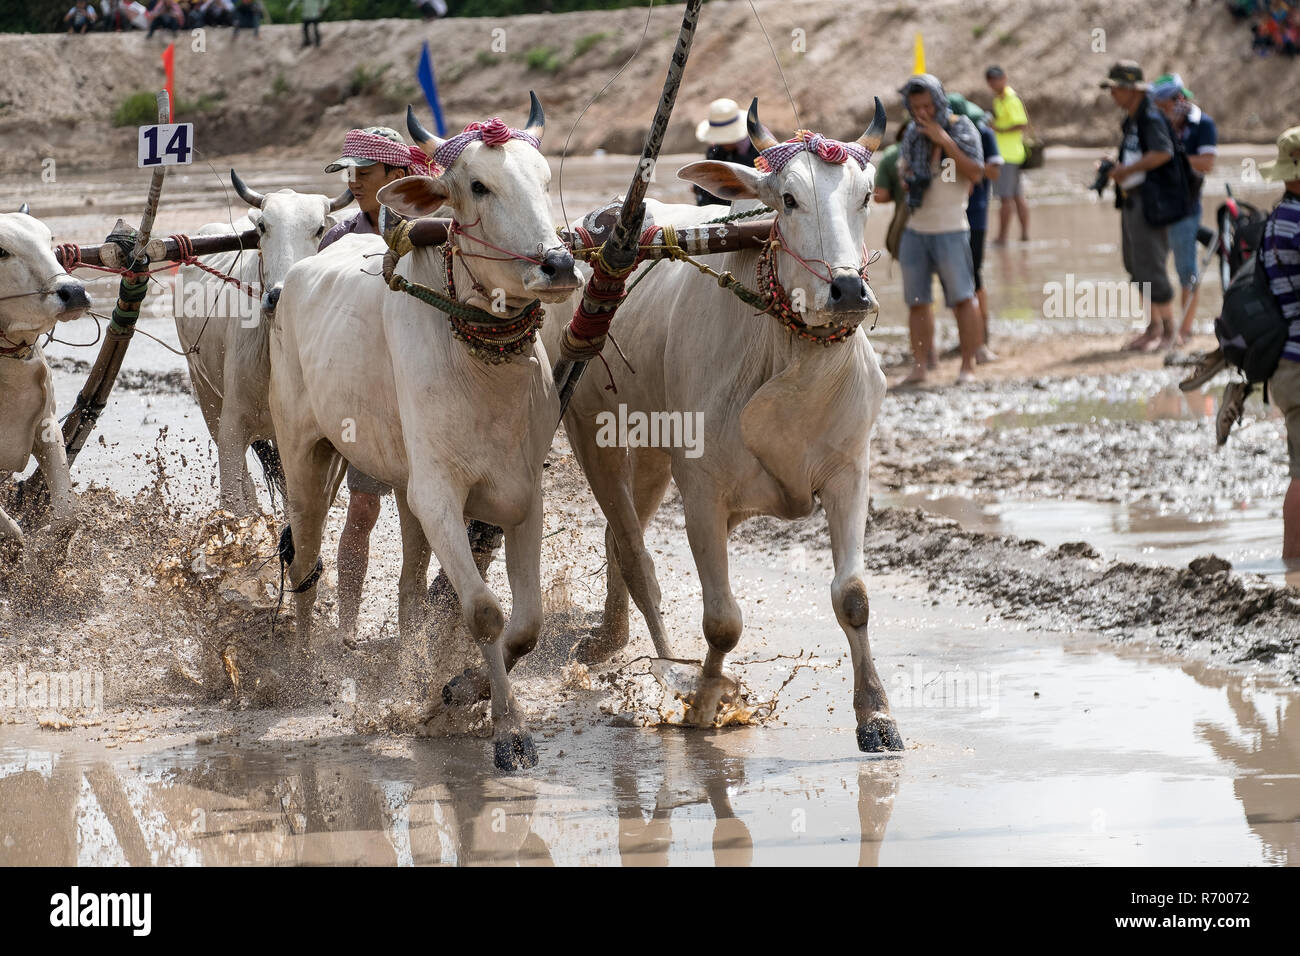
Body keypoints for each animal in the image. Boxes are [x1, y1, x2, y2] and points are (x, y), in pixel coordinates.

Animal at [0, 211, 91, 545]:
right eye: (1, 251)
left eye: (49, 240)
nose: (74, 292)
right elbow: (11, 530)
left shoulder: (46, 425)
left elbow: (69, 513)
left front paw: (44, 548)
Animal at [173, 173, 352, 513]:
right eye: (263, 226)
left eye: (319, 229)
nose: (278, 295)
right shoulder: (232, 426)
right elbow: (232, 497)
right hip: (204, 389)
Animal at [269, 94, 579, 770]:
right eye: (479, 186)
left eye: (545, 180)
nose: (559, 264)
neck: (487, 373)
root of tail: (296, 276)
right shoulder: (440, 495)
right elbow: (484, 613)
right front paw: (508, 730)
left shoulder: (523, 495)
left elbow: (528, 624)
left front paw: (454, 692)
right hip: (303, 453)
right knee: (304, 558)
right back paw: (302, 671)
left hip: (404, 488)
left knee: (411, 586)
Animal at [538, 98, 904, 753]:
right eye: (787, 198)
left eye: (865, 196)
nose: (848, 290)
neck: (792, 358)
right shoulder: (703, 491)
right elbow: (723, 621)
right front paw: (704, 702)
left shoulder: (848, 473)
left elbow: (853, 598)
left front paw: (877, 716)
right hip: (590, 431)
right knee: (634, 553)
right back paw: (658, 666)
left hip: (653, 455)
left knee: (619, 540)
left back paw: (610, 639)